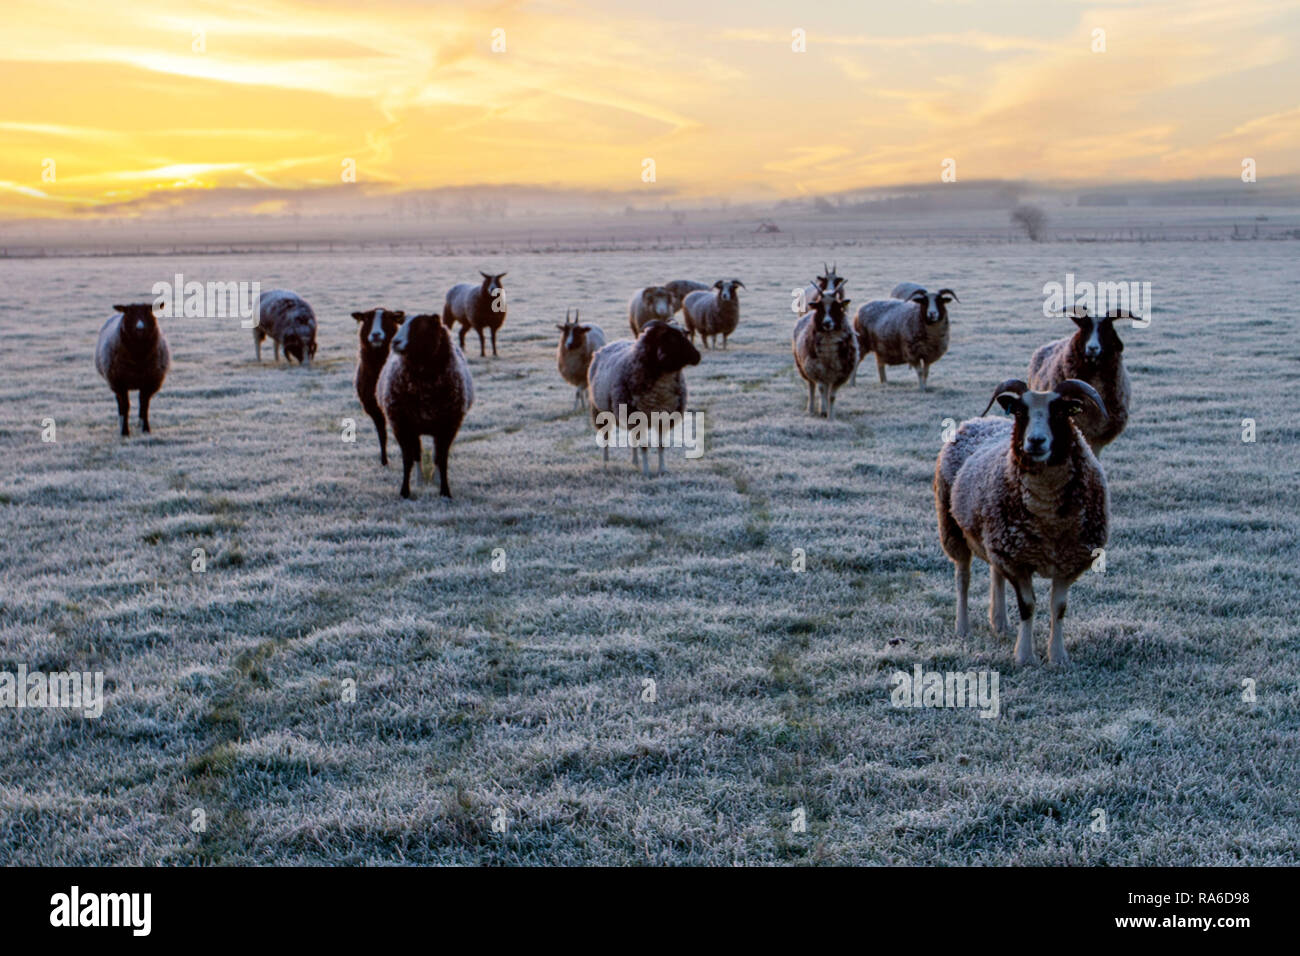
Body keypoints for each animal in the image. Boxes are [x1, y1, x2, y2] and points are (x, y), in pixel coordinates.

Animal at [95, 303, 171, 437]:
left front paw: (146, 428)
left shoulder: (149, 382)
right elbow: (125, 406)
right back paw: (121, 421)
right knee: (119, 402)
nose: (140, 328)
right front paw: (125, 431)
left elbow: (144, 405)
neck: (138, 357)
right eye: (129, 313)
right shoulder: (120, 383)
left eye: (149, 312)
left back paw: (139, 423)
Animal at [351, 307, 406, 465]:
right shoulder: (372, 407)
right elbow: (382, 434)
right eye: (366, 318)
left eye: (388, 318)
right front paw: (384, 462)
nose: (376, 334)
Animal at [377, 313, 474, 499]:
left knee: (434, 455)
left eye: (420, 326)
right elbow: (408, 459)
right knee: (417, 455)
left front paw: (445, 492)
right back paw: (419, 481)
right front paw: (405, 492)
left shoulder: (448, 426)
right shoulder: (402, 425)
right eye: (402, 323)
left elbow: (441, 460)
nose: (395, 342)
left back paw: (434, 480)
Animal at [587, 319, 700, 476]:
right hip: (600, 411)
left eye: (685, 334)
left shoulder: (663, 418)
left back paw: (635, 462)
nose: (697, 356)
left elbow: (661, 446)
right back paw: (606, 463)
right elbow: (644, 446)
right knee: (605, 438)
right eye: (672, 338)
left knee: (632, 439)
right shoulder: (639, 418)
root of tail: (613, 343)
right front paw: (646, 471)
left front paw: (662, 469)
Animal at [934, 378, 1109, 666]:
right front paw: (1025, 655)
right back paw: (963, 627)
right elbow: (1027, 606)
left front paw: (1058, 656)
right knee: (963, 577)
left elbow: (1058, 608)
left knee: (995, 573)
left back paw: (1000, 622)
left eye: (1060, 412)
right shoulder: (1017, 561)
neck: (1048, 518)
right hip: (952, 527)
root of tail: (978, 421)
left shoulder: (1069, 560)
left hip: (996, 536)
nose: (1036, 441)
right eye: (1019, 411)